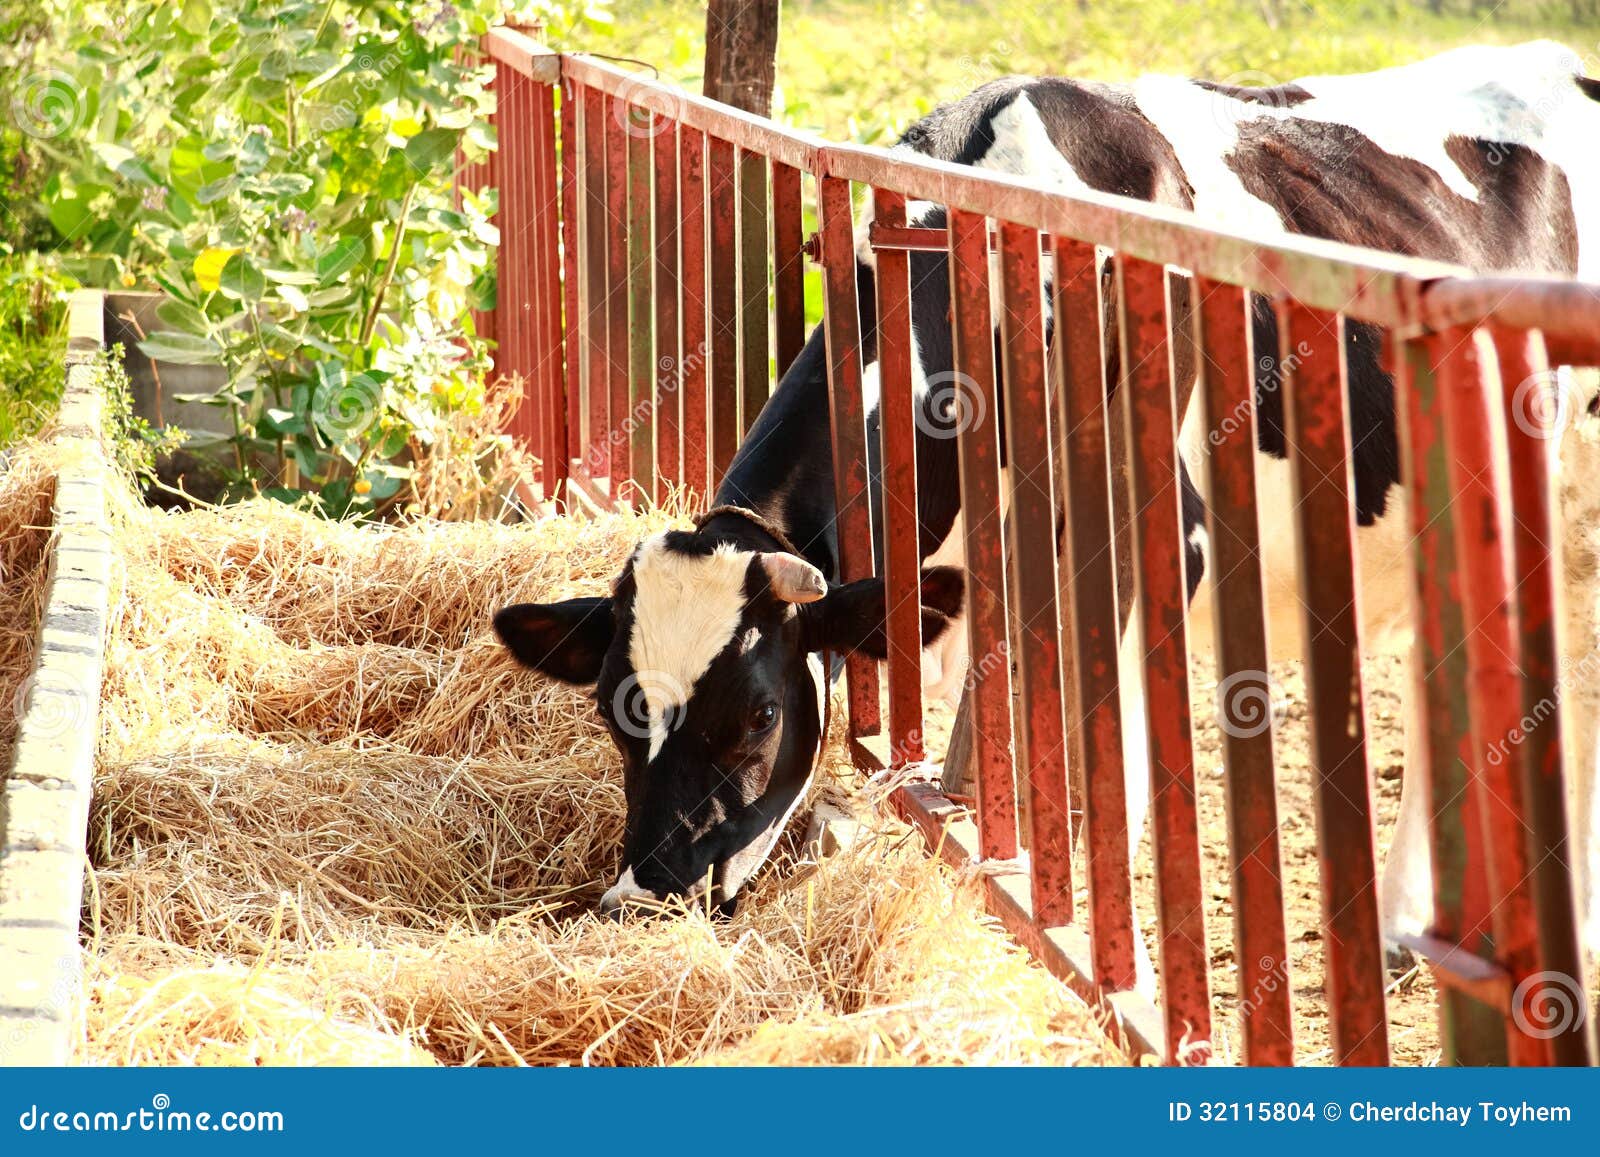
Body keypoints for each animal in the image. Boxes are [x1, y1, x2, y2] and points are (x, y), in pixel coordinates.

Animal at [495, 41, 1600, 985]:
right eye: (611, 707)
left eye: (761, 713)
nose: (646, 901)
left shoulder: (1157, 555)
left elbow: (1114, 777)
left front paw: (1121, 970)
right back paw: (1413, 925)